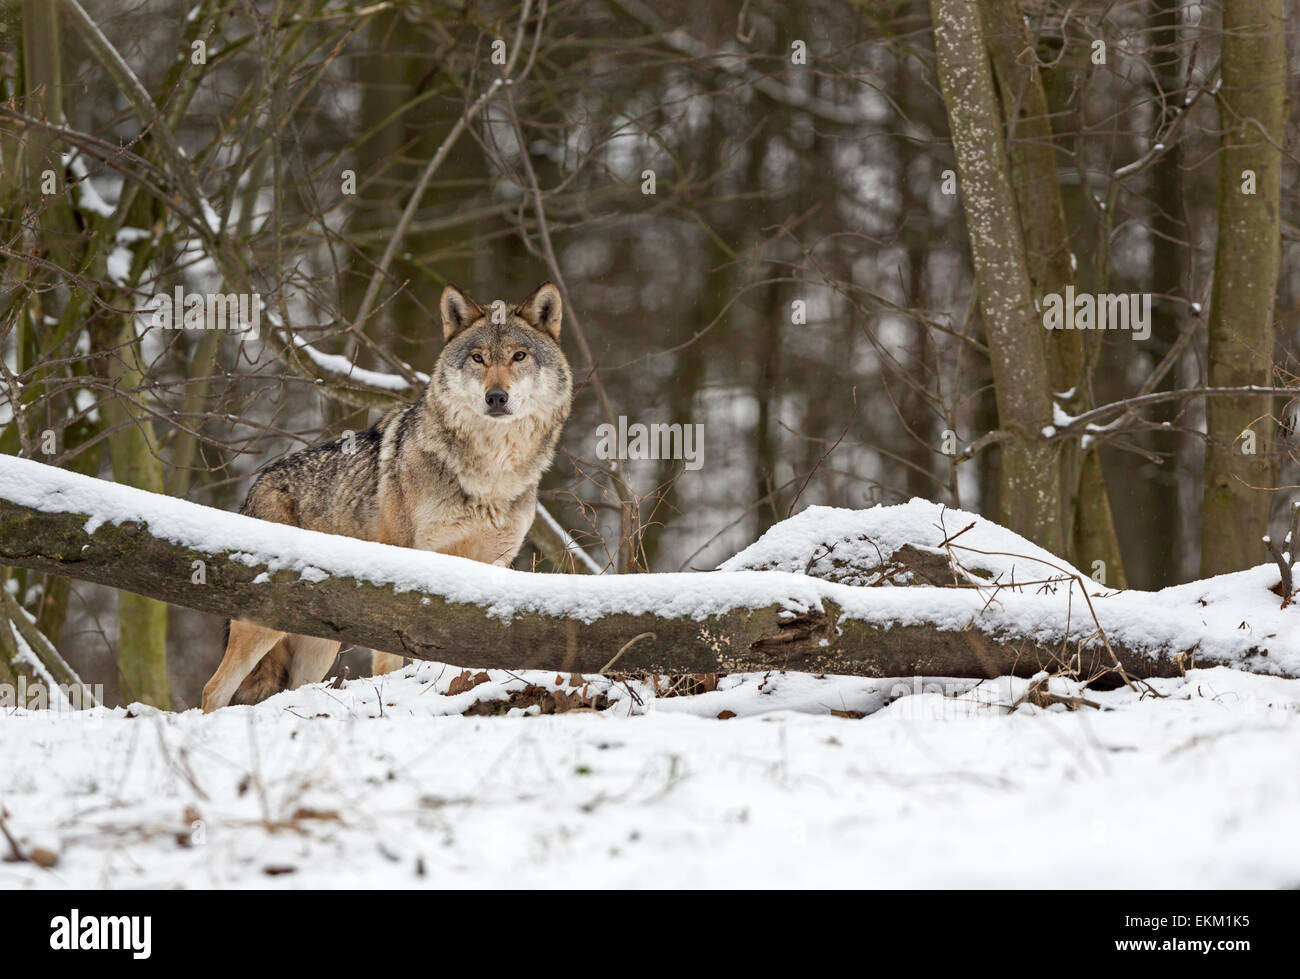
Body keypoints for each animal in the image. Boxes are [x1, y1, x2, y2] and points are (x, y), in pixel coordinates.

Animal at [201, 282, 572, 712]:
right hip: (266, 626)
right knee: (214, 689)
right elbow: (391, 661)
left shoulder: (490, 566)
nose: (495, 397)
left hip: (319, 646)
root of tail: (255, 486)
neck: (489, 474)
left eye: (519, 356)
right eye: (478, 357)